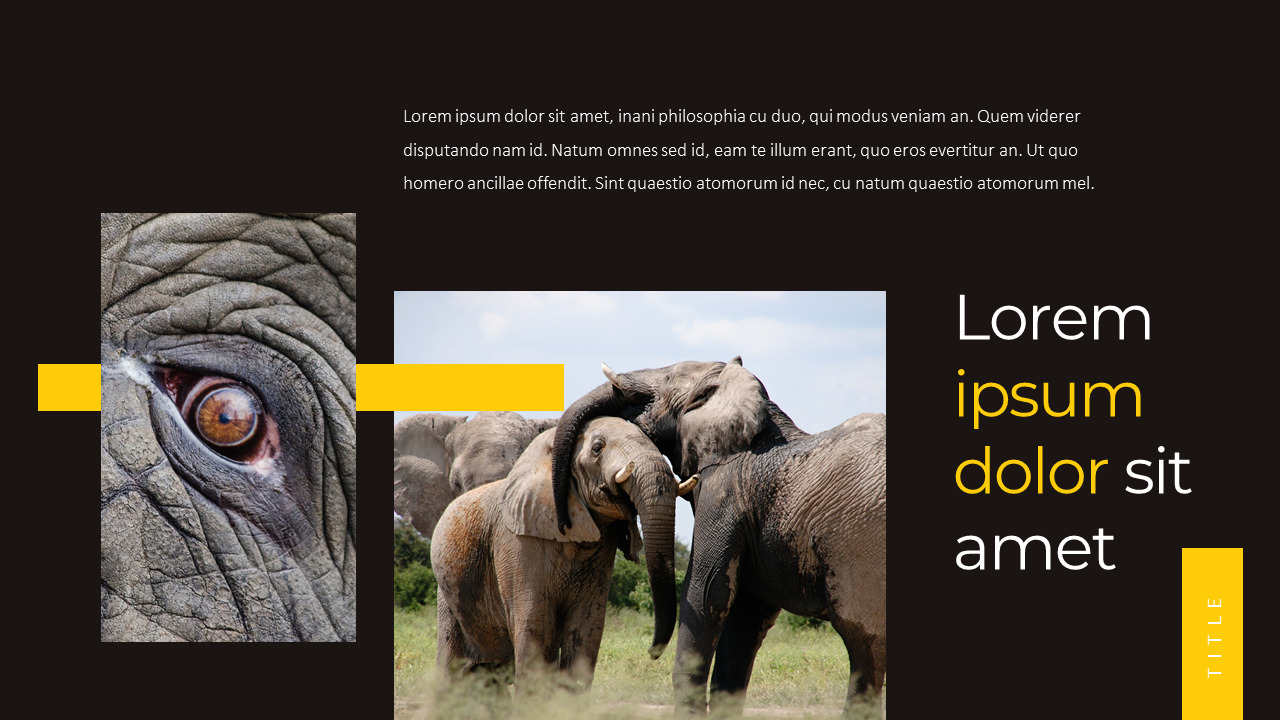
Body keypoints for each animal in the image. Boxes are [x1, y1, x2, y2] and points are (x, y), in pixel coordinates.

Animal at [431, 417, 698, 691]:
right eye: (597, 448)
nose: (651, 653)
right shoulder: (517, 543)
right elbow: (536, 627)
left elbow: (587, 628)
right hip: (448, 593)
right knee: (452, 666)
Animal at [551, 358, 886, 714]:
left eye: (667, 379)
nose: (564, 523)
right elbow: (744, 619)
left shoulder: (722, 491)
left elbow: (705, 592)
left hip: (859, 544)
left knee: (863, 648)